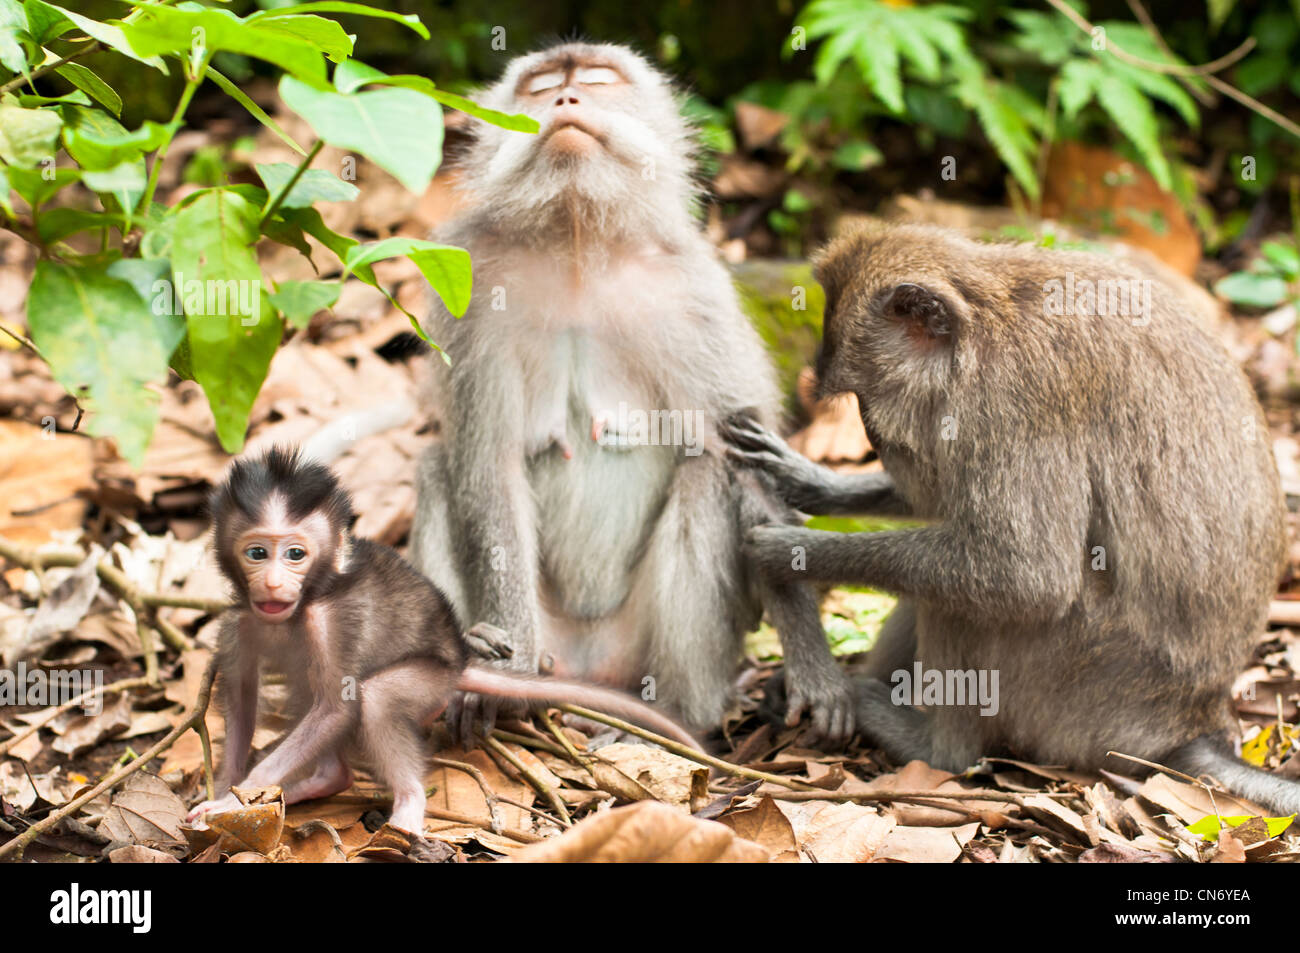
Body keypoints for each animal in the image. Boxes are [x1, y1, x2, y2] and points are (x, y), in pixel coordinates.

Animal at [186, 447, 702, 835]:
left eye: (295, 554)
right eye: (257, 552)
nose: (273, 583)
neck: (305, 600)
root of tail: (459, 657)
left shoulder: (330, 621)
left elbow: (337, 706)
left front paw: (235, 800)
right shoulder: (239, 623)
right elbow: (242, 696)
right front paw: (229, 789)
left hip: (432, 678)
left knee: (374, 698)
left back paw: (404, 802)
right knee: (306, 685)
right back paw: (321, 781)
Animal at [408, 41, 854, 744]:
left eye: (595, 80)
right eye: (542, 87)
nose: (567, 100)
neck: (576, 237)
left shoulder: (696, 293)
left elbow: (745, 459)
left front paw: (815, 668)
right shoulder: (471, 291)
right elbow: (490, 467)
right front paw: (504, 670)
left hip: (638, 647)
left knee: (708, 474)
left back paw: (674, 716)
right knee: (436, 467)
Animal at [723, 221, 1300, 815]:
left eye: (865, 397)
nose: (876, 442)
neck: (987, 317)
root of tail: (1193, 720)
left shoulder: (1011, 402)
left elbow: (1025, 578)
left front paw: (789, 553)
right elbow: (944, 506)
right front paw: (812, 483)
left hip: (1081, 682)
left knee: (974, 604)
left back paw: (924, 741)